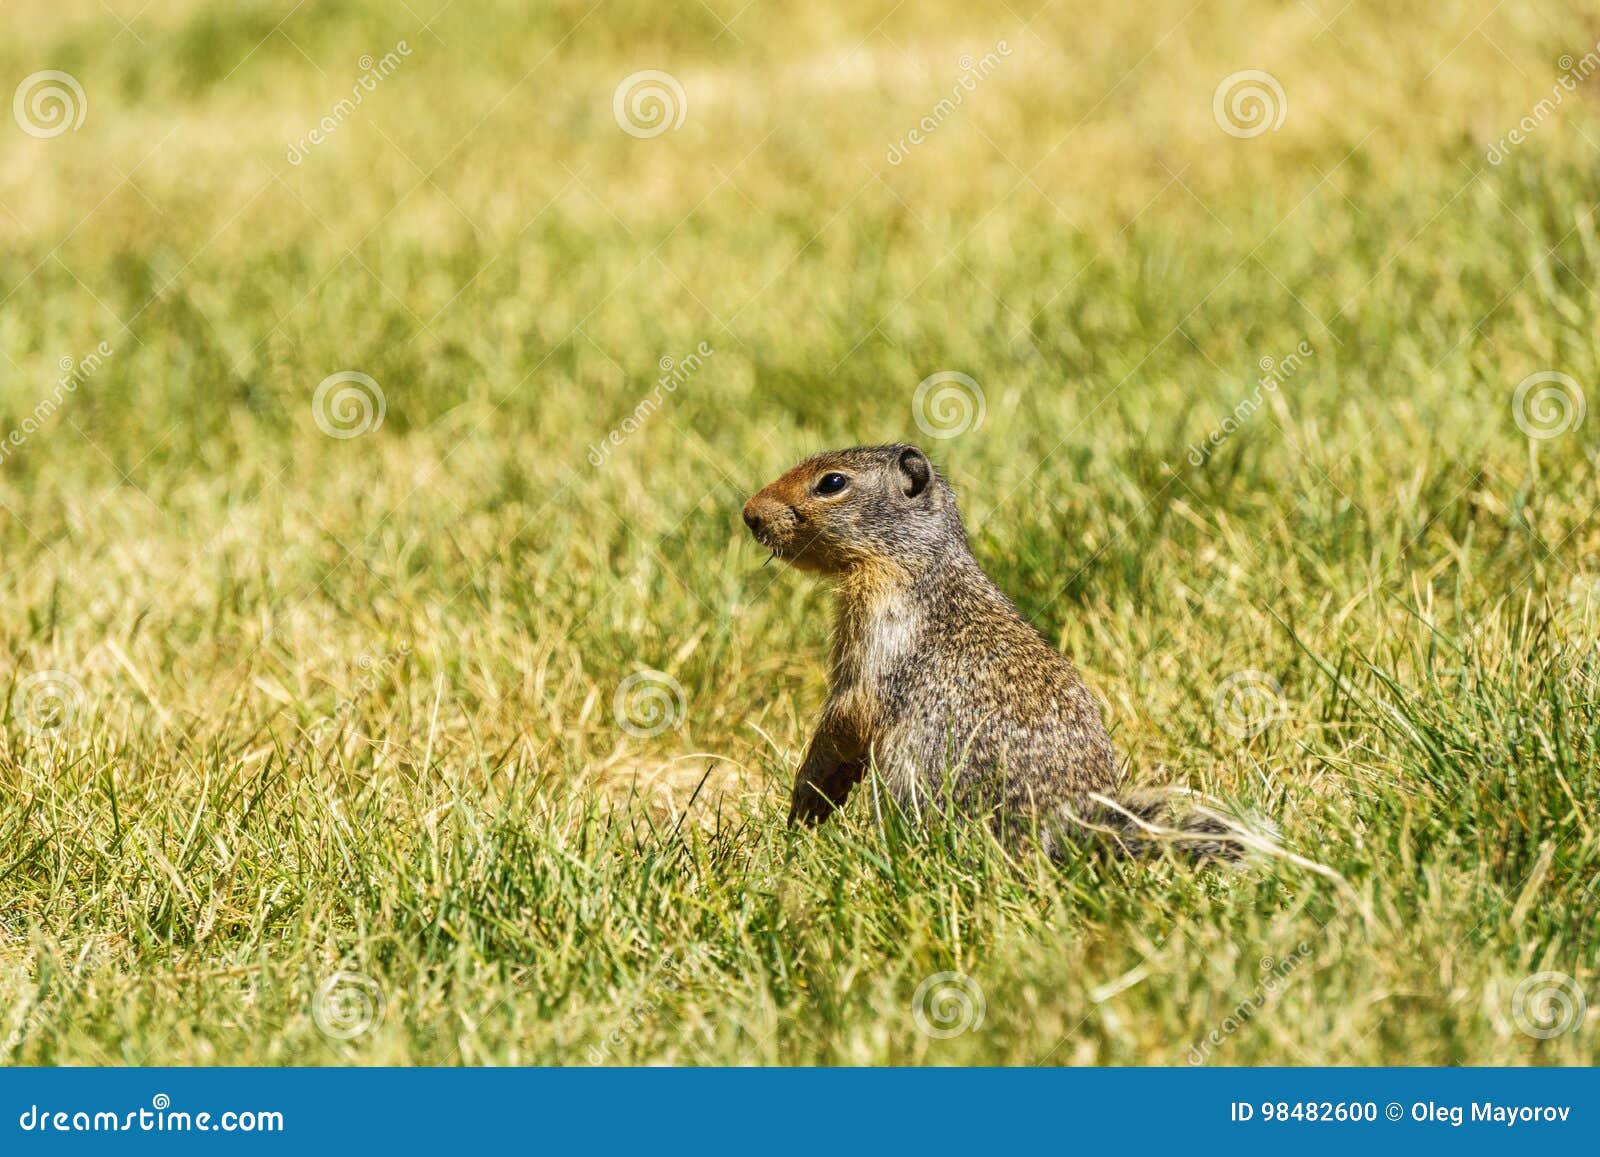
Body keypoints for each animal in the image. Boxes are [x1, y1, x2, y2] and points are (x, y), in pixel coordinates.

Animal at [742, 442, 1241, 860]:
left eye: (832, 482)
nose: (749, 514)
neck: (911, 561)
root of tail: (1063, 837)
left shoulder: (877, 631)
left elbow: (846, 716)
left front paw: (805, 804)